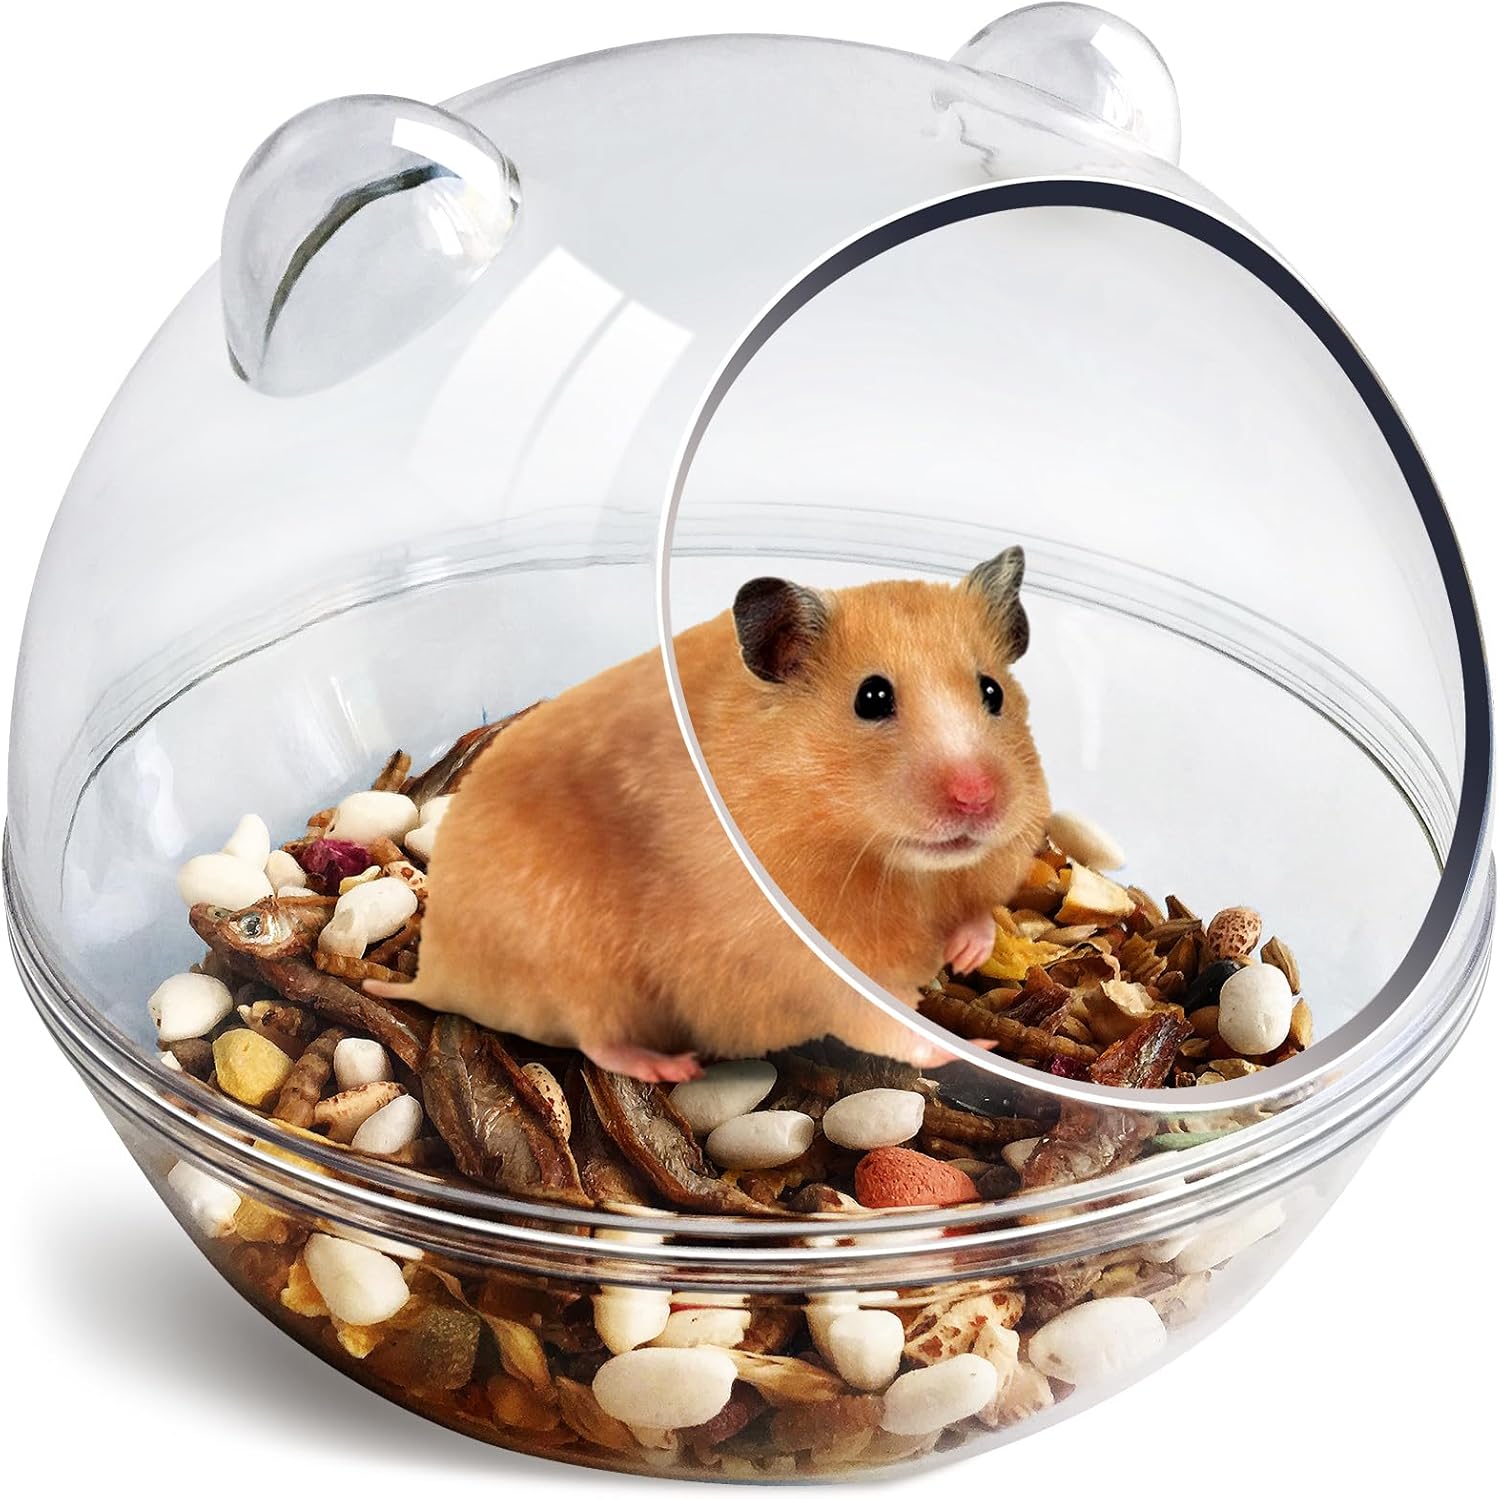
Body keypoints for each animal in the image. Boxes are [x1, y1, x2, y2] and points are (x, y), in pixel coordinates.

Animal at [367, 546, 1049, 1082]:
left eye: (992, 691)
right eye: (872, 697)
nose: (979, 800)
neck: (892, 866)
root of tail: (439, 970)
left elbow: (976, 912)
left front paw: (968, 954)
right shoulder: (814, 967)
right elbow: (883, 1026)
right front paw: (973, 1044)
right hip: (577, 967)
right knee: (594, 1037)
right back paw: (670, 1068)